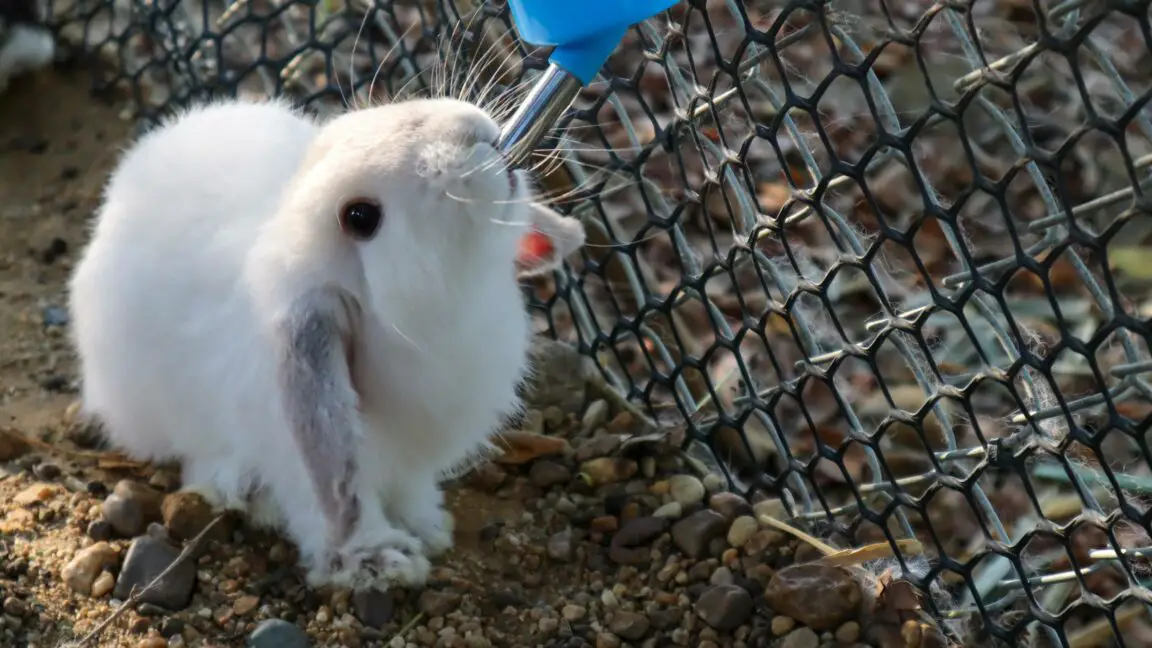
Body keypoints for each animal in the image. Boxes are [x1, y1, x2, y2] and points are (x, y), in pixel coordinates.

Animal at [66, 95, 586, 592]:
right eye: (361, 217)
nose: (469, 131)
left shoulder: (416, 461)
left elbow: (411, 491)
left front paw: (428, 527)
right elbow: (336, 504)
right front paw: (379, 561)